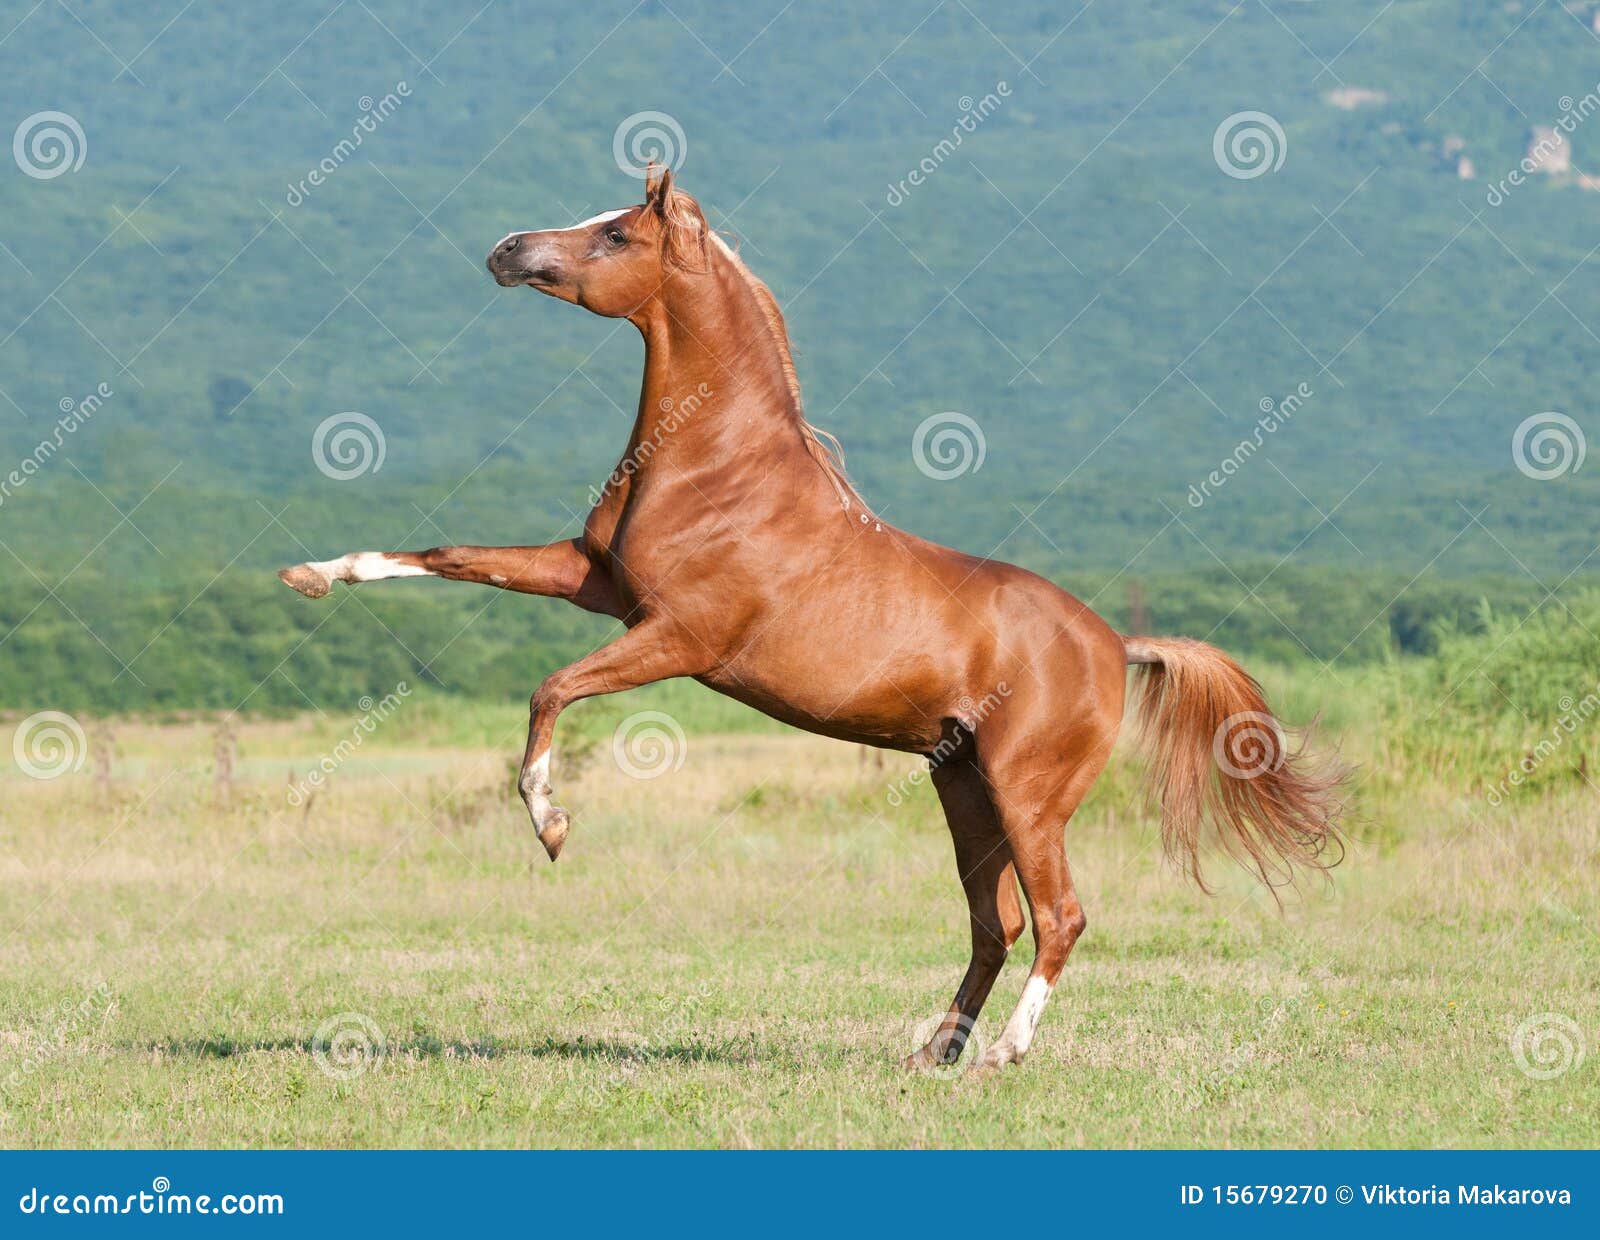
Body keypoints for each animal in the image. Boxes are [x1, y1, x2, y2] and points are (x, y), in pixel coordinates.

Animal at [278, 167, 1343, 1071]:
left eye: (615, 232)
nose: (505, 249)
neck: (717, 468)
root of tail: (1116, 645)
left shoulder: (676, 637)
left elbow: (550, 691)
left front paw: (552, 826)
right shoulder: (591, 581)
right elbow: (449, 555)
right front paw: (315, 574)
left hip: (1028, 794)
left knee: (1060, 916)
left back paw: (1001, 1054)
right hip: (963, 789)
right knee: (994, 922)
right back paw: (934, 1052)